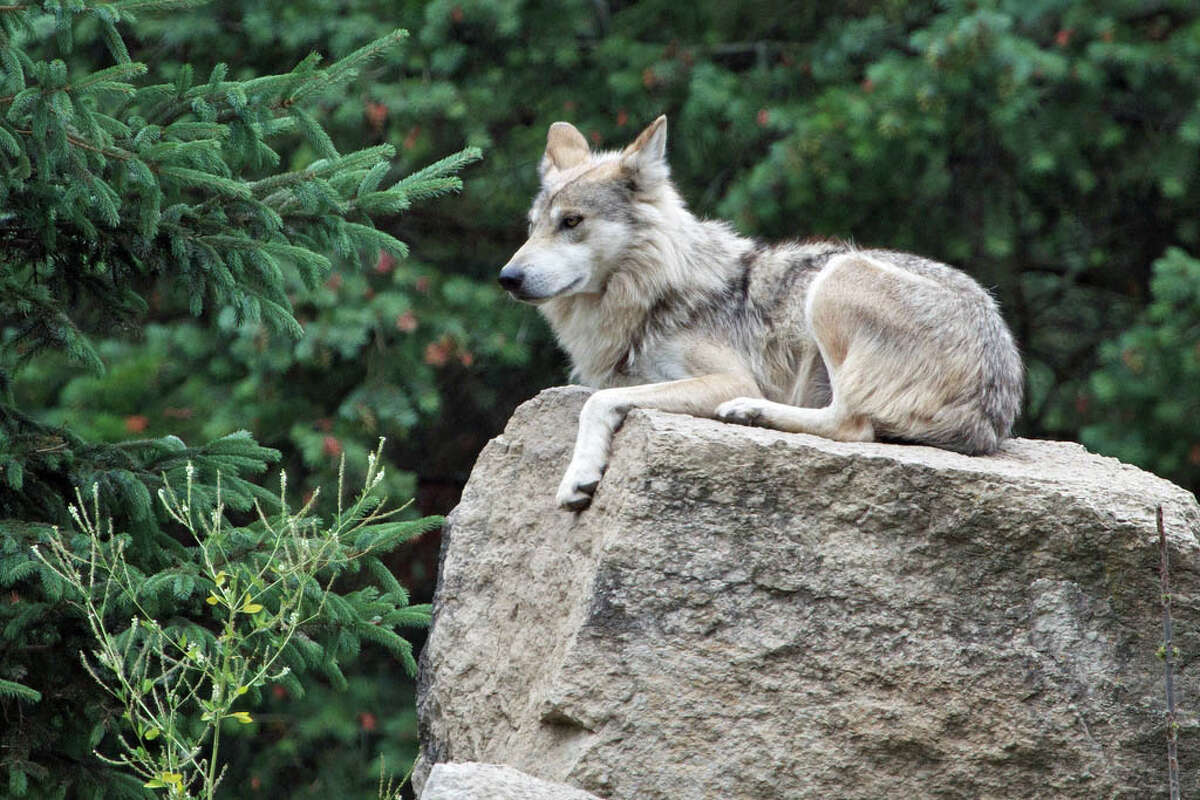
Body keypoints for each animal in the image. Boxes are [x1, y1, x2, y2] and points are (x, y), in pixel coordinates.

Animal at [499, 116, 1023, 511]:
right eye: (532, 227)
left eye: (572, 222)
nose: (507, 277)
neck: (655, 291)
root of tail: (992, 416)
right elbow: (599, 395)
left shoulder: (727, 377)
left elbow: (597, 402)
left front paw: (578, 474)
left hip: (837, 277)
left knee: (853, 425)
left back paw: (751, 412)